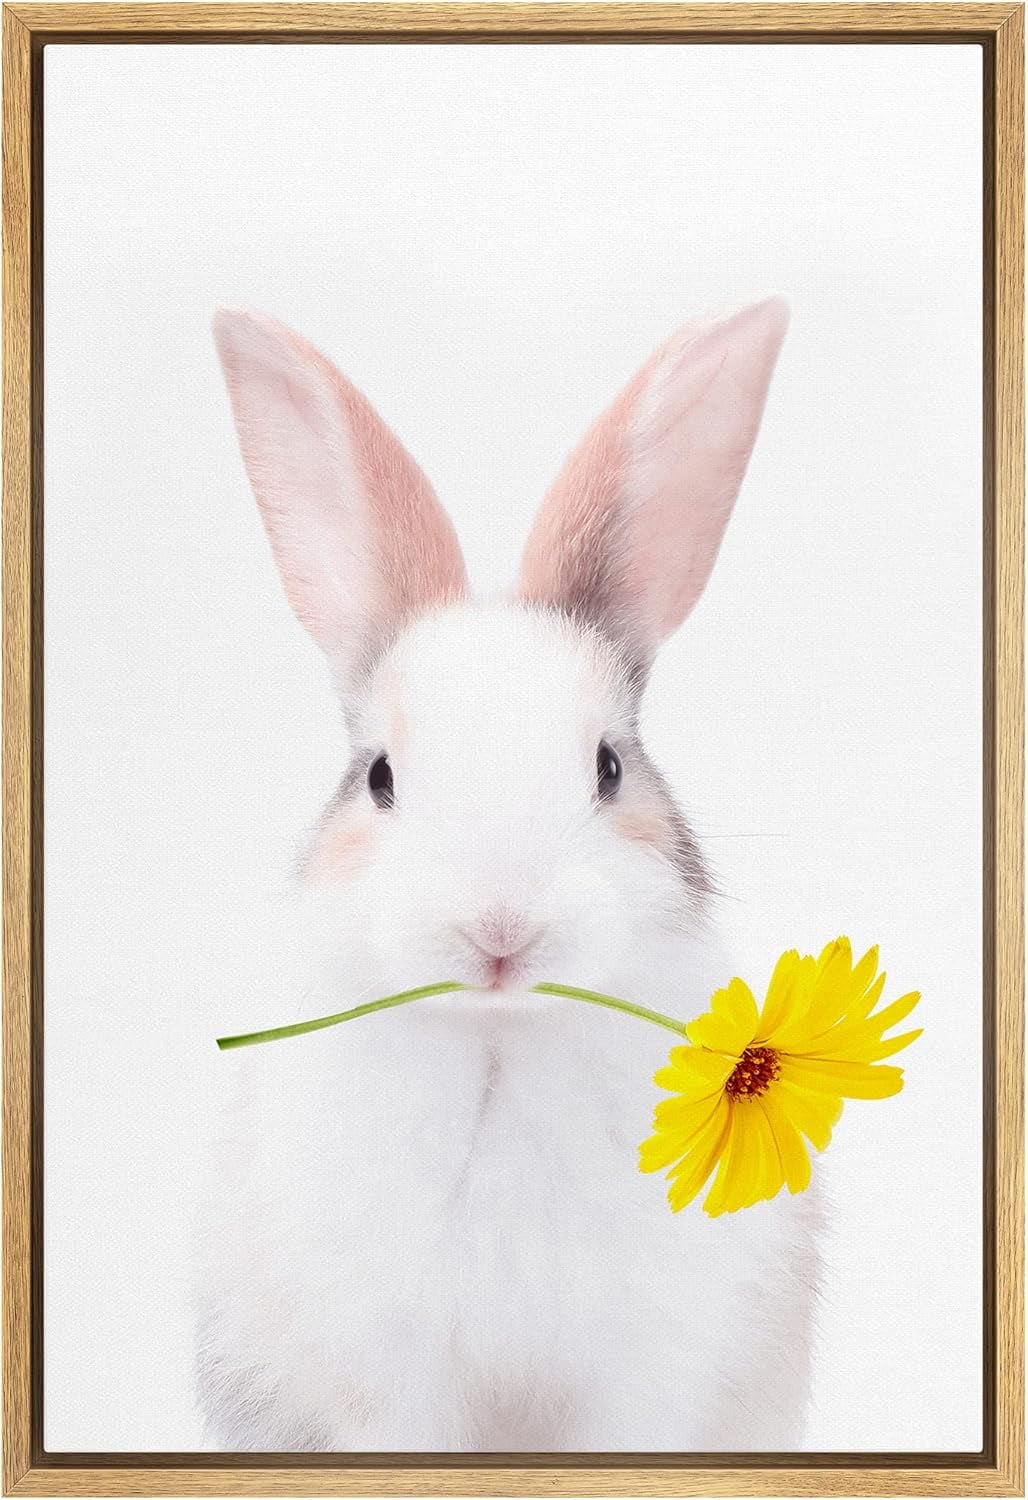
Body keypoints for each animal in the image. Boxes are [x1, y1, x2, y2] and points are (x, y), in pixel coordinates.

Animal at [195, 298, 821, 1454]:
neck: (498, 1043)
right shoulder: (385, 1375)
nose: (498, 928)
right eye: (380, 778)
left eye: (608, 767)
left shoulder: (643, 1365)